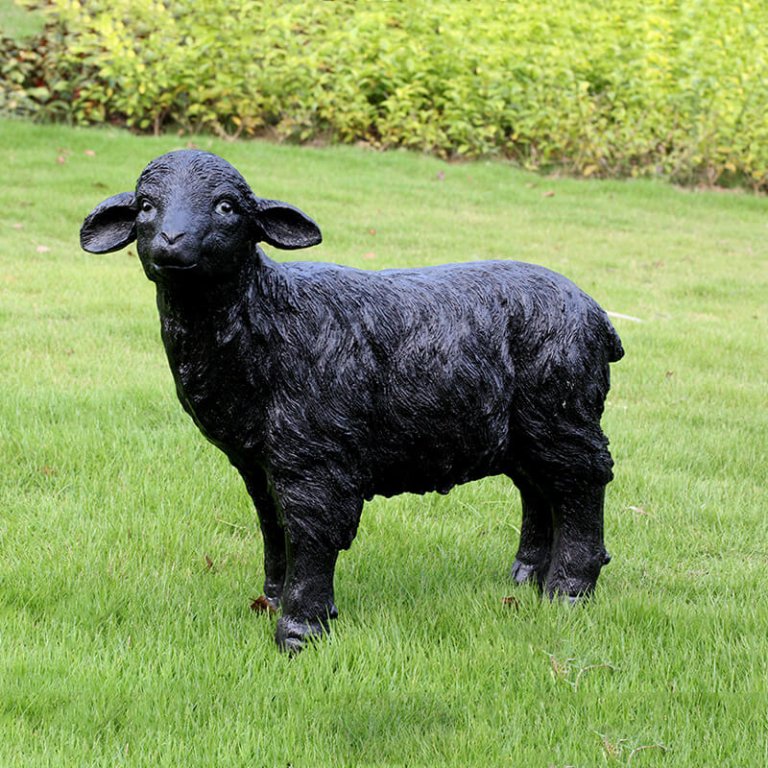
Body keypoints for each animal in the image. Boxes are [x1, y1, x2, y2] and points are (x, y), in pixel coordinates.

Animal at [81, 150, 624, 652]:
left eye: (227, 206)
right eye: (146, 205)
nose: (172, 241)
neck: (267, 318)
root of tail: (595, 310)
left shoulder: (316, 456)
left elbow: (311, 532)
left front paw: (300, 629)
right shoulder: (257, 461)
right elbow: (272, 525)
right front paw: (272, 599)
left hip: (562, 410)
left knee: (581, 483)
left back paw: (568, 589)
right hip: (522, 429)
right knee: (538, 488)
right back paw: (526, 575)